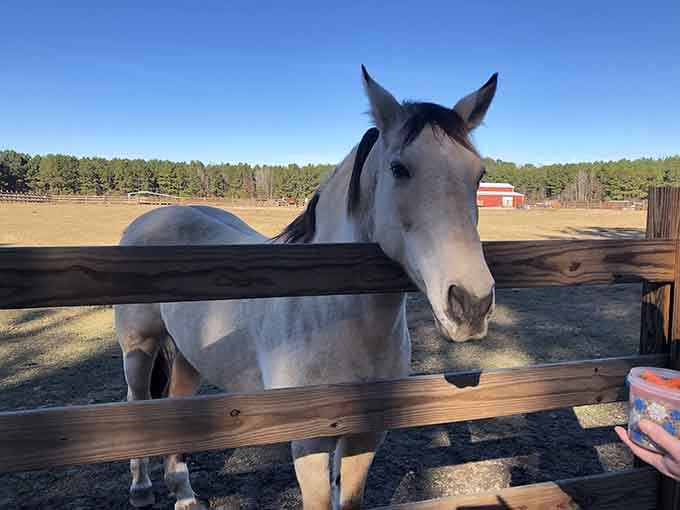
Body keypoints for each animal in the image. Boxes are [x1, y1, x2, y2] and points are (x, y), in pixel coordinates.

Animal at [115, 66, 497, 510]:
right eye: (399, 168)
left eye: (478, 174)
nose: (471, 303)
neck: (330, 316)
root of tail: (153, 217)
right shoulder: (308, 441)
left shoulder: (365, 433)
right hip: (139, 348)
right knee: (137, 404)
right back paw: (141, 488)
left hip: (191, 355)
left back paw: (185, 494)